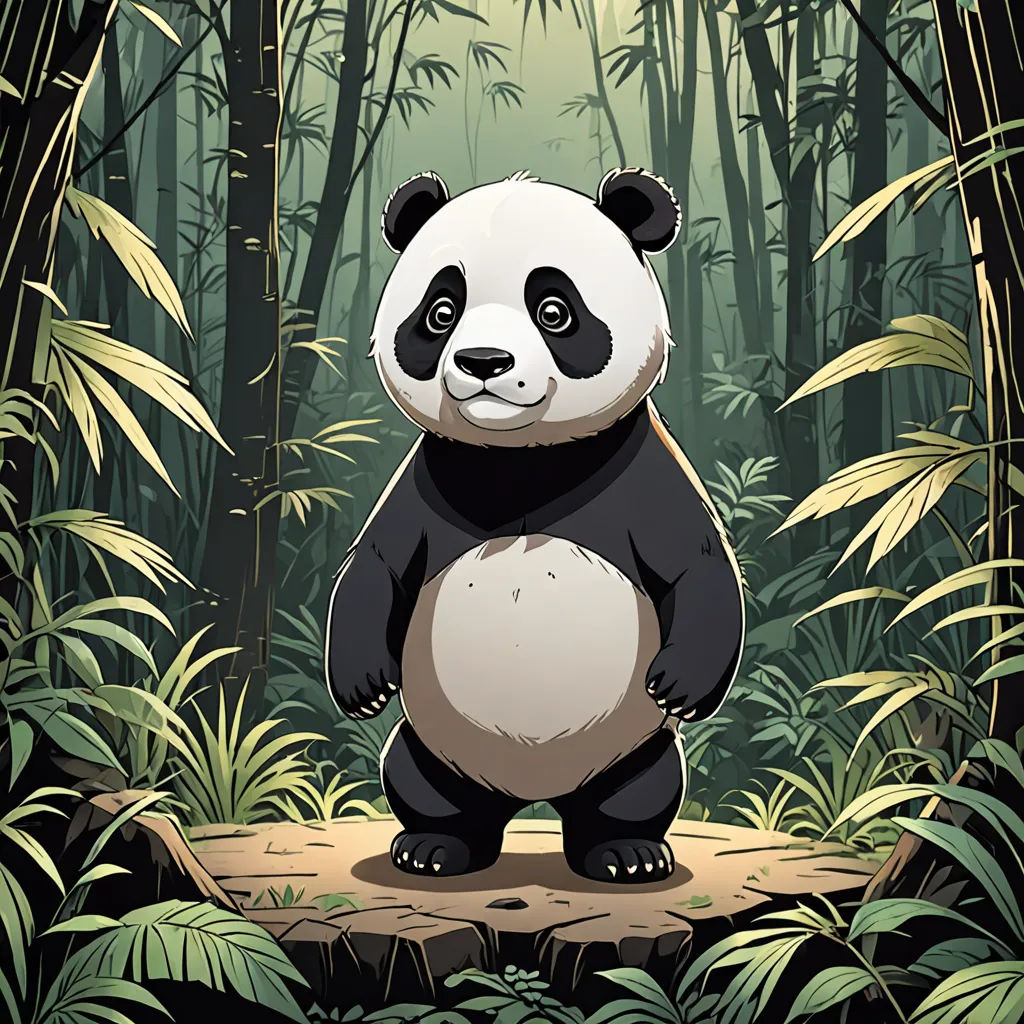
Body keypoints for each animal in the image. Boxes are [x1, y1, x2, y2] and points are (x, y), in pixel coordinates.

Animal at [325, 168, 745, 883]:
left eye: (554, 310)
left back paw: (625, 855)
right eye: (440, 313)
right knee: (420, 779)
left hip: (634, 746)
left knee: (641, 788)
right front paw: (360, 684)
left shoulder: (643, 475)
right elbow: (375, 564)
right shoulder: (433, 477)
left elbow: (699, 565)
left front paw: (683, 684)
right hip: (434, 742)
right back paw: (436, 849)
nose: (484, 361)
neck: (523, 462)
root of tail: (532, 797)